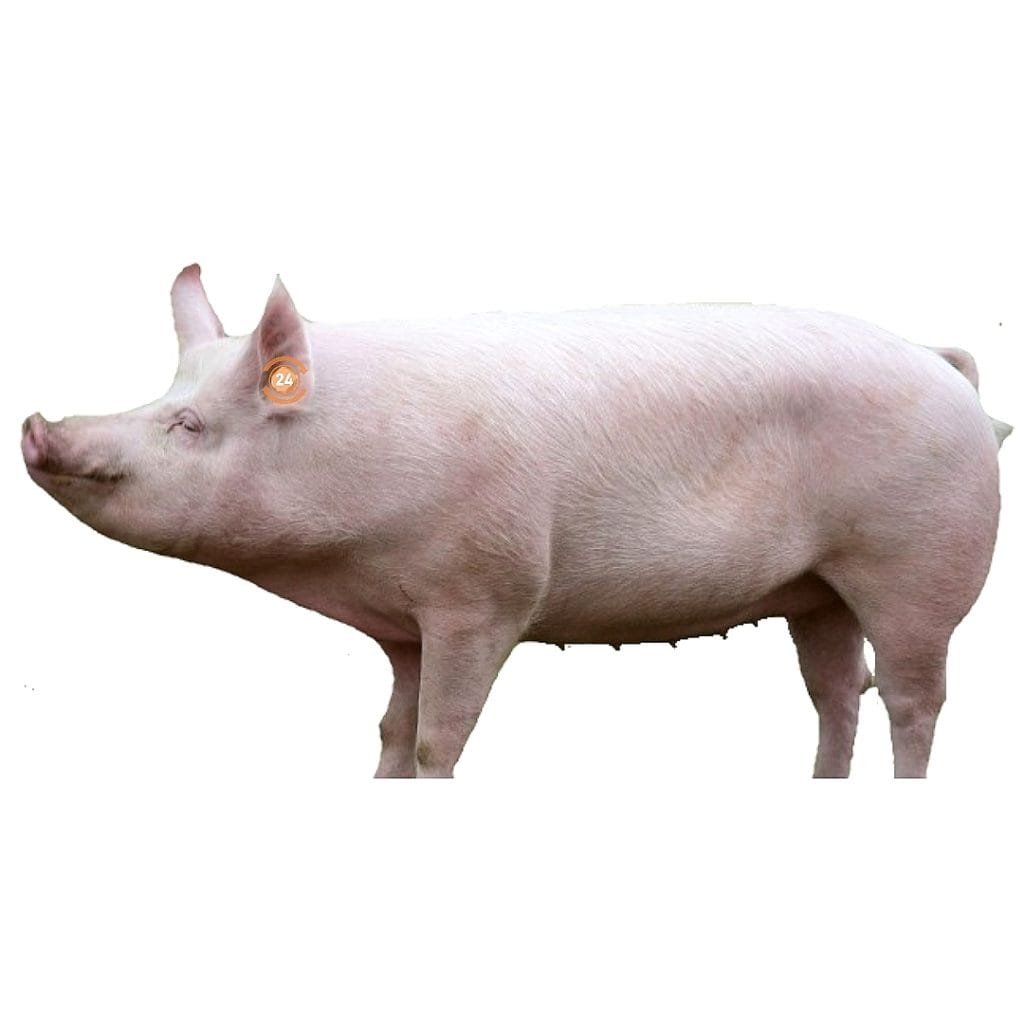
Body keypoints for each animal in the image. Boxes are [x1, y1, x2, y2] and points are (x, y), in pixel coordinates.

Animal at [21, 265, 1012, 778]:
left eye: (188, 425)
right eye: (163, 397)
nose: (36, 424)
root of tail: (940, 365)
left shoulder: (485, 593)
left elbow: (438, 736)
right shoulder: (404, 624)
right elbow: (391, 727)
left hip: (921, 562)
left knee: (914, 696)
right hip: (818, 589)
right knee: (839, 690)